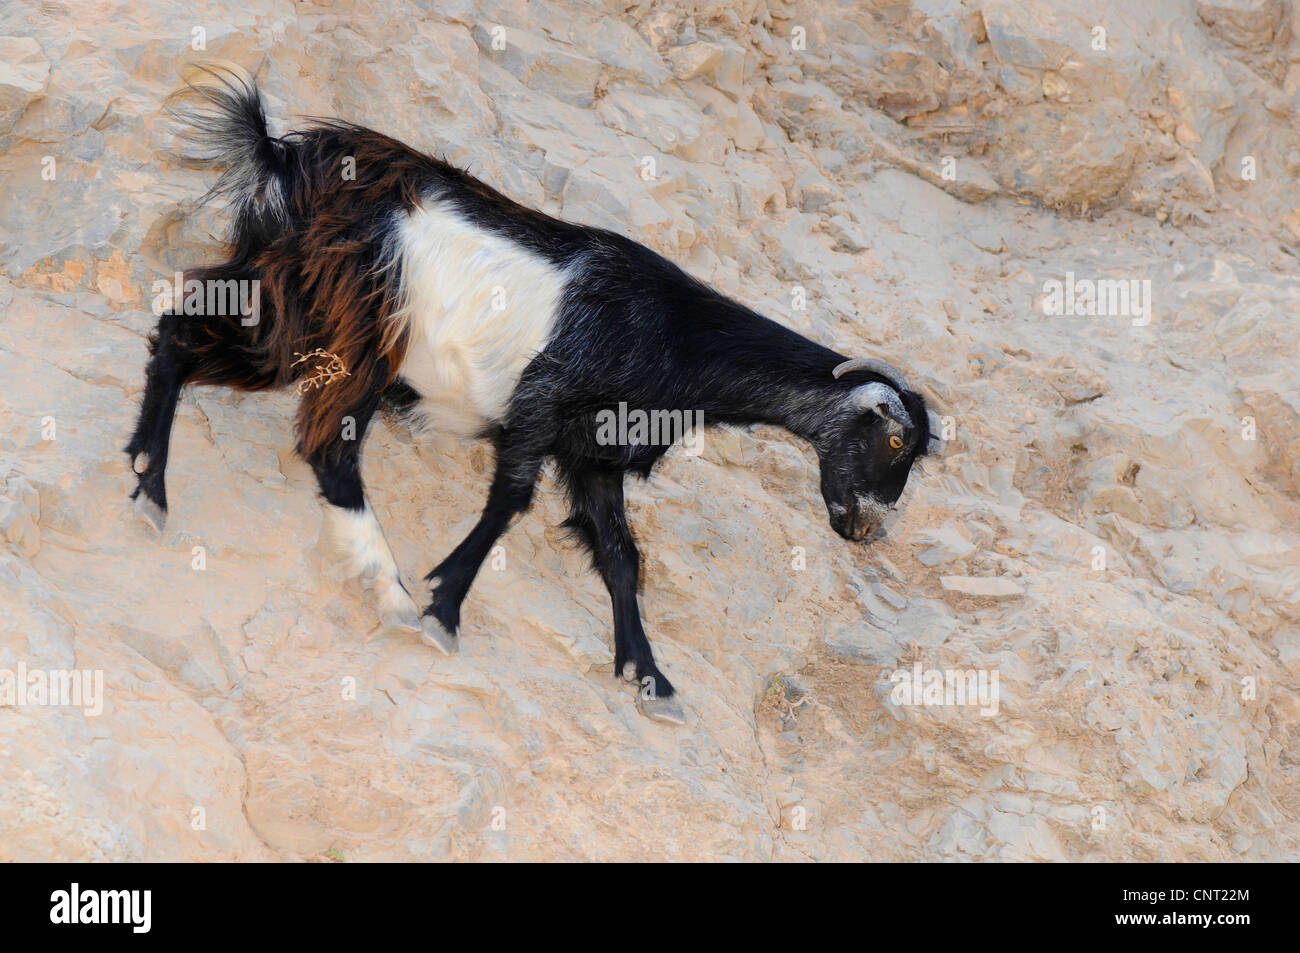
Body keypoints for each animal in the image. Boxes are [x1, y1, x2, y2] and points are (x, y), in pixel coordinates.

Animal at [126, 64, 936, 724]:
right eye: (895, 438)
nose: (868, 528)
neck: (671, 336)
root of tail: (284, 155)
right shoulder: (544, 403)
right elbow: (510, 503)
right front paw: (444, 606)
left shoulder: (594, 454)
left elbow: (621, 554)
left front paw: (652, 680)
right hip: (353, 323)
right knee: (325, 443)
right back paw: (387, 589)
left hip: (281, 304)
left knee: (181, 334)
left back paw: (149, 484)